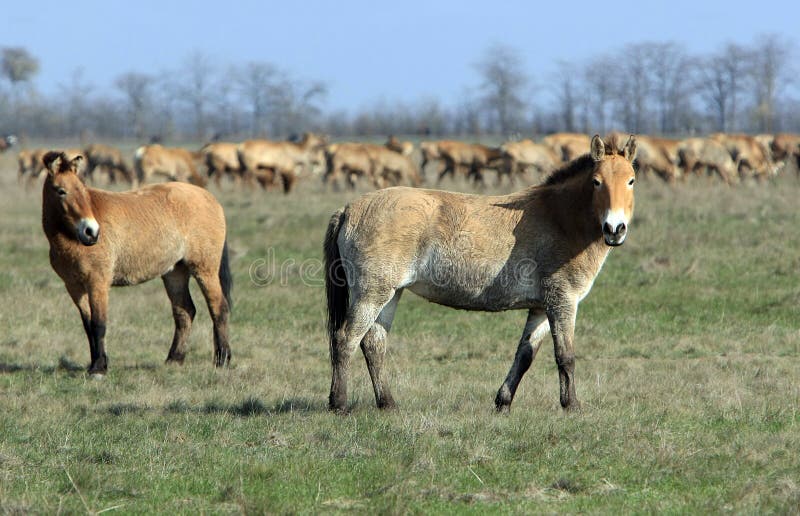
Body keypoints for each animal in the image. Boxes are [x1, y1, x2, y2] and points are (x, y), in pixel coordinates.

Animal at [40, 151, 232, 375]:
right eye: (61, 191)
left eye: (83, 189)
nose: (91, 232)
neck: (71, 238)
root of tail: (210, 198)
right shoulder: (74, 286)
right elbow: (88, 325)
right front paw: (95, 363)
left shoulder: (98, 282)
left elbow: (99, 324)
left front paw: (99, 368)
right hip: (175, 272)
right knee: (185, 311)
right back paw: (174, 359)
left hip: (205, 269)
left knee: (218, 308)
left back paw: (222, 360)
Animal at [324, 134, 637, 412]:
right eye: (596, 182)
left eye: (631, 180)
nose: (615, 228)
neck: (561, 218)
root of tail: (348, 209)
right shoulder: (563, 301)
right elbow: (565, 355)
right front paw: (571, 405)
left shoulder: (540, 307)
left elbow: (525, 355)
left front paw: (503, 402)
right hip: (371, 294)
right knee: (345, 340)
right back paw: (339, 404)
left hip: (391, 294)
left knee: (374, 344)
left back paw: (388, 404)